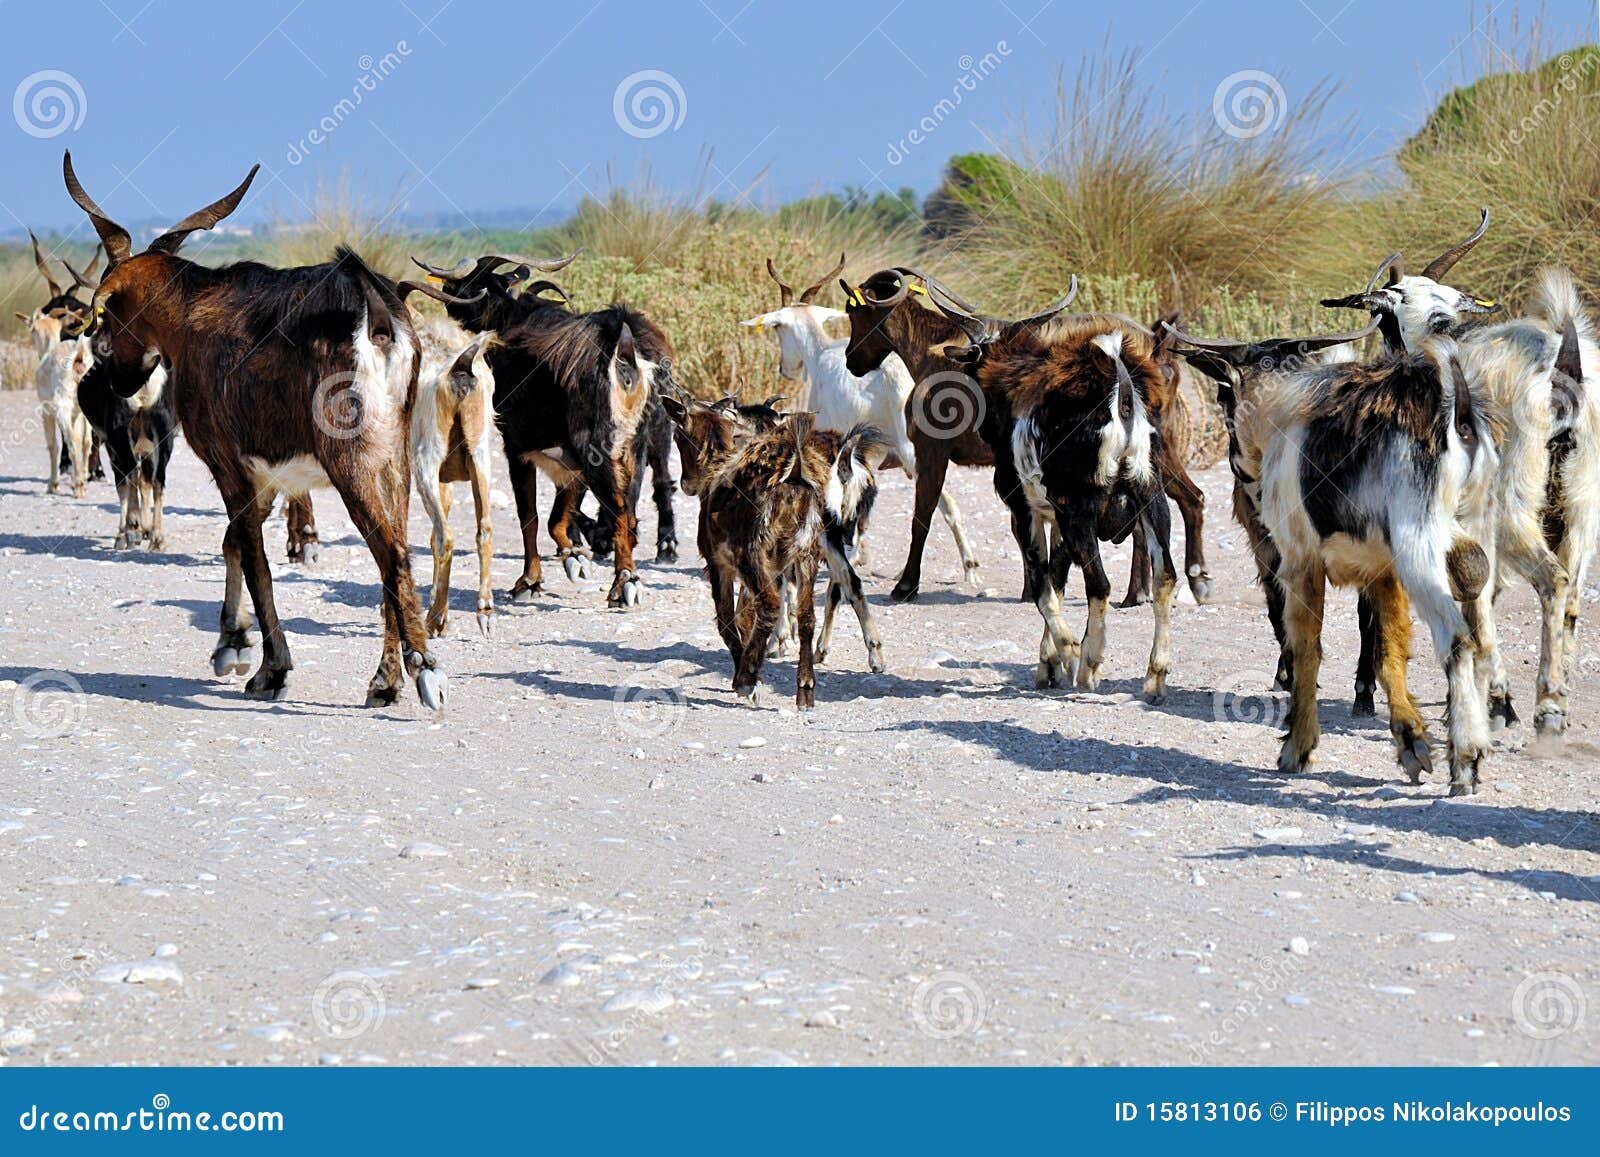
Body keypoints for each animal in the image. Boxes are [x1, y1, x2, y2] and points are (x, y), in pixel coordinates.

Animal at [64, 151, 463, 710]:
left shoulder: (228, 463)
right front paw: (232, 642)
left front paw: (270, 668)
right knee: (395, 554)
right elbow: (233, 540)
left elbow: (253, 556)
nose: (112, 374)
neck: (193, 313)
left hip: (351, 460)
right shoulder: (267, 473)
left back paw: (421, 668)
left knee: (392, 555)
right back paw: (385, 679)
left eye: (108, 314)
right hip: (392, 461)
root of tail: (378, 318)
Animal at [412, 254, 679, 603]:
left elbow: (531, 516)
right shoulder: (566, 456)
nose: (446, 291)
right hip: (635, 445)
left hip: (599, 447)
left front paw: (530, 581)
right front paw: (574, 556)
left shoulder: (518, 447)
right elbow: (559, 516)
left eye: (469, 284)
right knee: (633, 508)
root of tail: (622, 347)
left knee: (622, 508)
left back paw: (625, 582)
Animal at [742, 256, 980, 582]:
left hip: (914, 452)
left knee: (945, 503)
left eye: (778, 328)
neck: (820, 354)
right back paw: (968, 570)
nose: (785, 369)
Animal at [1171, 322, 1500, 794]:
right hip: (1476, 522)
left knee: (1457, 638)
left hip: (1418, 543)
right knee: (1478, 601)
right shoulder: (1382, 568)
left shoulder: (1300, 560)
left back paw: (1467, 759)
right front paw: (1411, 743)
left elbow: (1307, 647)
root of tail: (1453, 411)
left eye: (1222, 396)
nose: (1238, 469)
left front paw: (1297, 747)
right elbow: (1389, 649)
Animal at [1321, 214, 1600, 739]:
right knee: (1571, 590)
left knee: (1552, 581)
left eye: (1388, 310)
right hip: (1580, 507)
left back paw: (1543, 707)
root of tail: (1562, 365)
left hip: (1513, 504)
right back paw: (1557, 696)